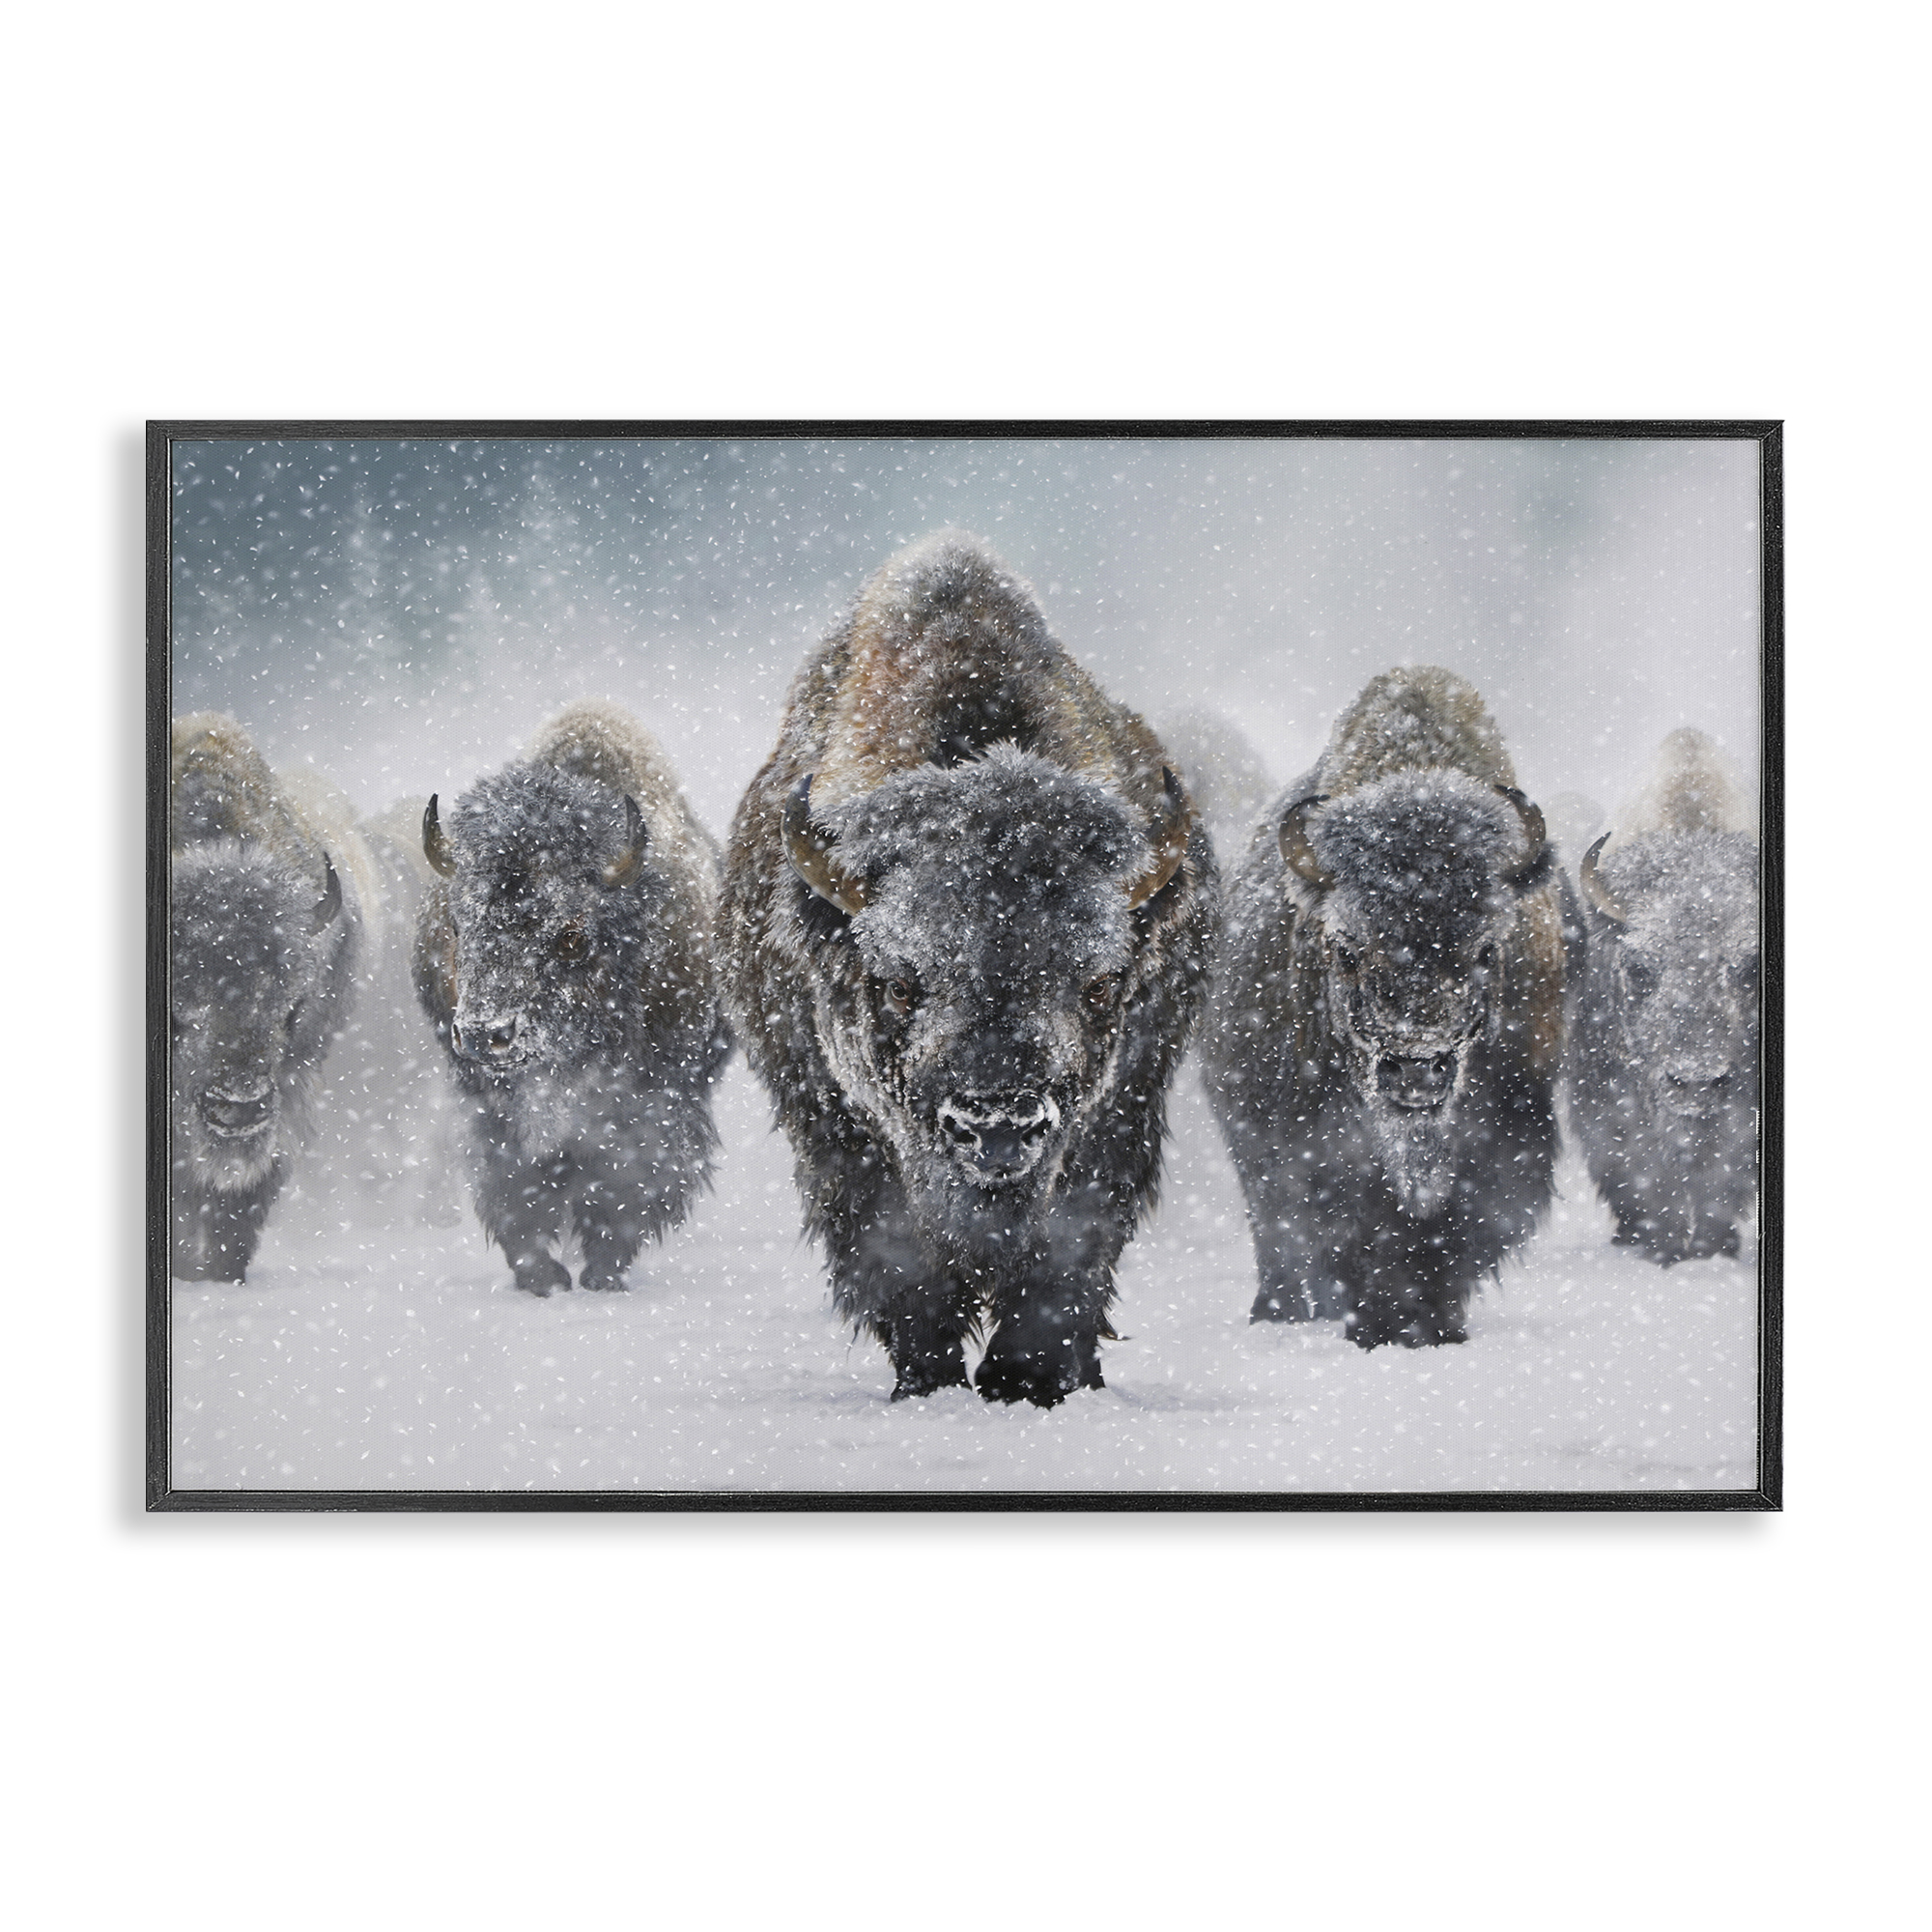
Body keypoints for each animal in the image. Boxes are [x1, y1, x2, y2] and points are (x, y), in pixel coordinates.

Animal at [413, 701, 731, 1296]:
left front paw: (602, 1272)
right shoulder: (489, 1107)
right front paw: (542, 1276)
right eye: (460, 925)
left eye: (570, 936)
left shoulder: (657, 1103)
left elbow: (627, 1186)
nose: (486, 1035)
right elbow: (514, 1189)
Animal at [718, 532, 1219, 1406]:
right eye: (897, 982)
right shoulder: (840, 1132)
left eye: (1100, 983)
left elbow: (1066, 1256)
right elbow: (899, 1264)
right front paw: (931, 1380)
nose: (998, 1123)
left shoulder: (1118, 1113)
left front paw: (1029, 1380)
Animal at [1202, 666, 1566, 1348]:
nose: (1417, 1070)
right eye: (1346, 949)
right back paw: (1277, 1311)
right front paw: (1377, 1325)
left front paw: (1432, 1326)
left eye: (1486, 948)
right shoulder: (1310, 1145)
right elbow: (1353, 1229)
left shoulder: (1506, 1143)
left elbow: (1454, 1233)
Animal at [1570, 729, 1759, 1264]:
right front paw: (1659, 1246)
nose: (1695, 1082)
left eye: (1749, 967)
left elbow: (1721, 1182)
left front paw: (1713, 1248)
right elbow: (1646, 1177)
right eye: (1639, 968)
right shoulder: (1612, 1107)